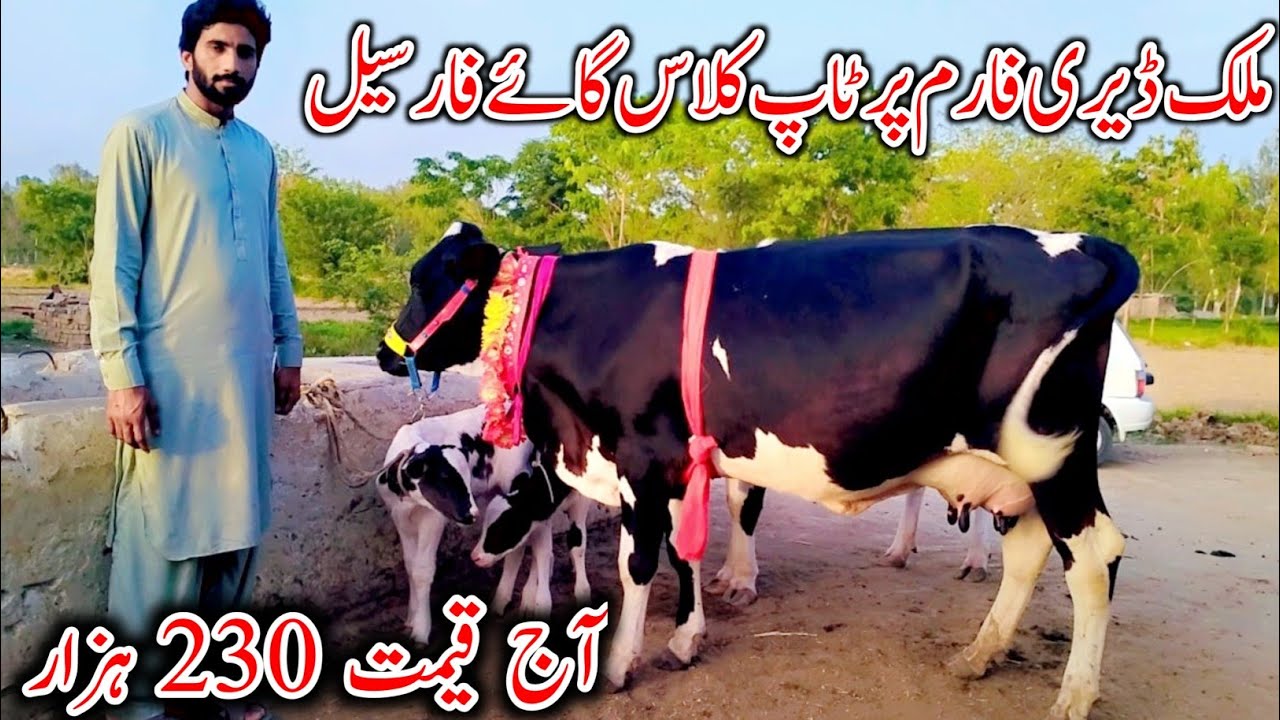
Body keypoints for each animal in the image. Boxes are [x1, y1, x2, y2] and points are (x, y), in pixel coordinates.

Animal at [376, 221, 1138, 720]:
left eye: (423, 279)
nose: (386, 355)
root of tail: (1090, 245)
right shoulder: (679, 464)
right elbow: (683, 553)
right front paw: (687, 638)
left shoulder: (641, 458)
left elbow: (638, 562)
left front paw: (622, 662)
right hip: (1022, 473)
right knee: (1030, 549)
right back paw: (980, 655)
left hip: (1055, 453)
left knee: (1092, 558)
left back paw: (1074, 694)